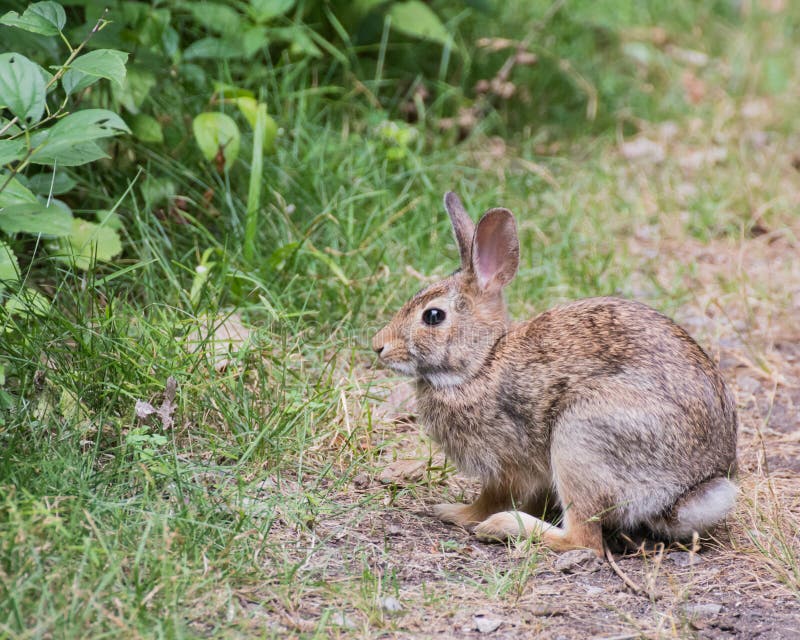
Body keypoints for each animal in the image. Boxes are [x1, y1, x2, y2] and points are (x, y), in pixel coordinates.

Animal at [371, 192, 738, 556]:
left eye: (433, 316)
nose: (378, 346)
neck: (482, 363)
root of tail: (687, 489)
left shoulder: (505, 462)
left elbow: (491, 496)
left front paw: (457, 513)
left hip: (580, 437)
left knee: (584, 540)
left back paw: (504, 526)